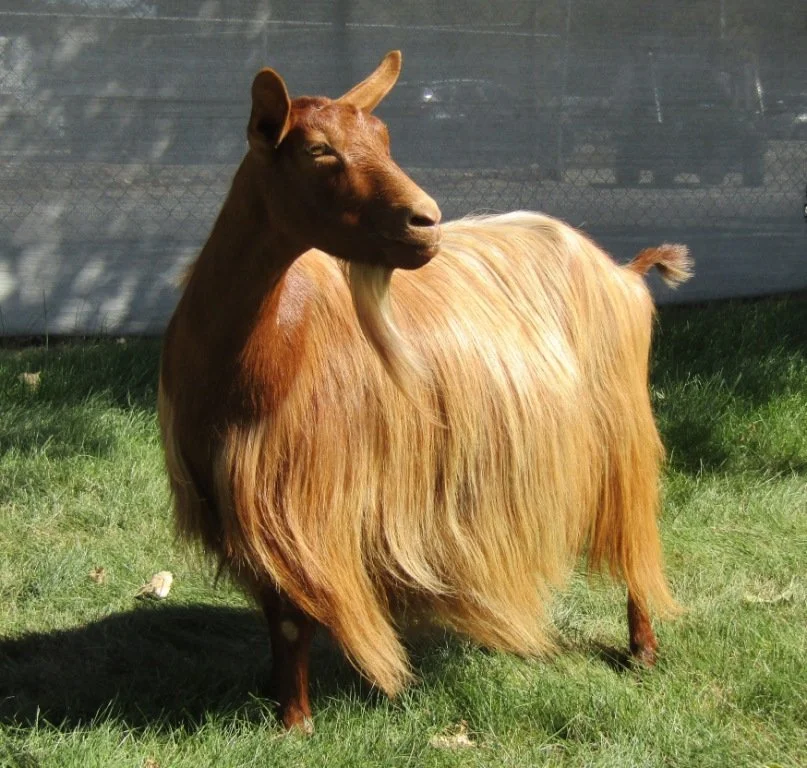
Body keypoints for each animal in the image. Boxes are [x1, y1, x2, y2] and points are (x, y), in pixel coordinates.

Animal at [158, 51, 691, 732]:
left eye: (385, 140)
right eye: (318, 150)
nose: (426, 221)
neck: (255, 353)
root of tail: (619, 270)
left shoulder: (306, 495)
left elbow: (296, 618)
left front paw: (295, 722)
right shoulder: (242, 497)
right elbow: (278, 615)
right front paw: (279, 702)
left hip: (620, 429)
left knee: (634, 535)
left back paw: (643, 648)